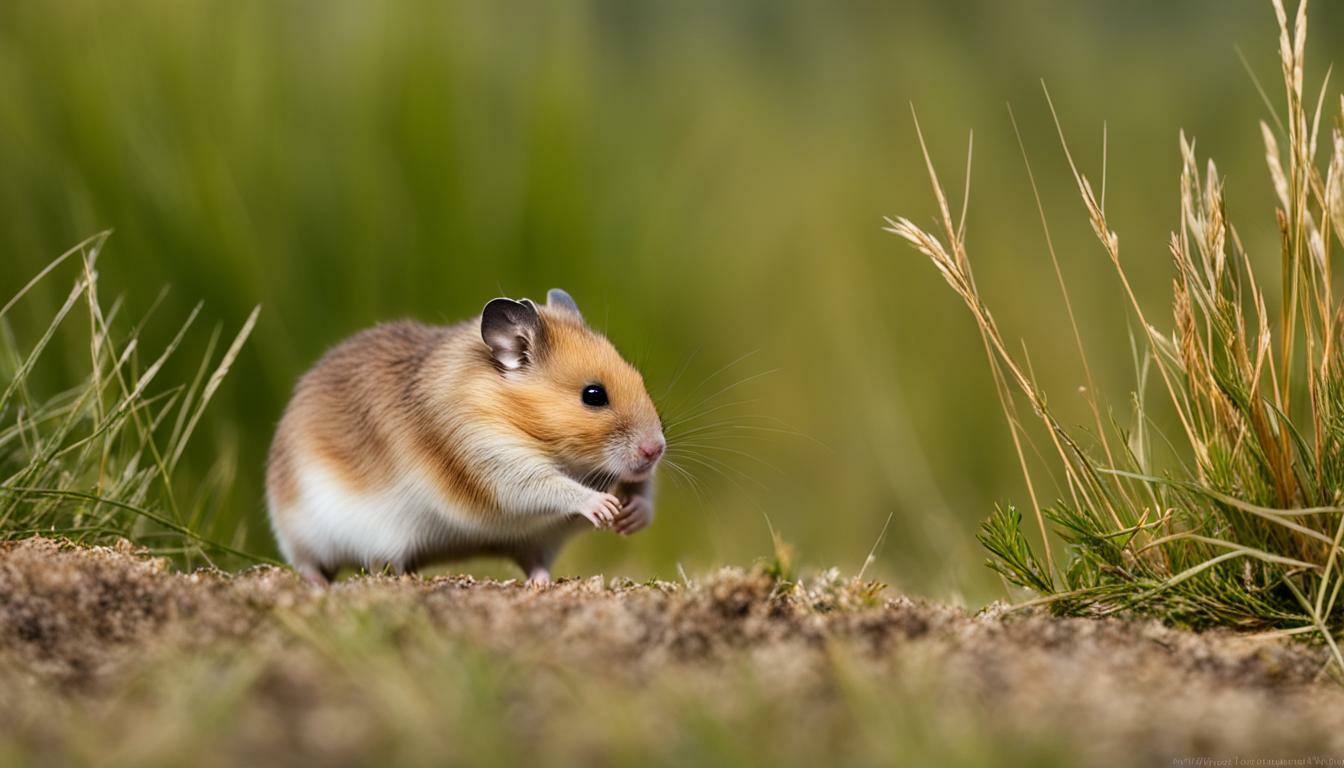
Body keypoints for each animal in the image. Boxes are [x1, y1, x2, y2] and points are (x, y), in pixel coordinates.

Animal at [265, 289, 666, 586]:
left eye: (638, 378)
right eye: (594, 395)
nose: (656, 450)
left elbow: (640, 487)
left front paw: (631, 517)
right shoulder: (494, 464)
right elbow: (551, 487)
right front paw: (605, 507)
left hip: (538, 543)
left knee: (534, 562)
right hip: (305, 530)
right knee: (309, 563)